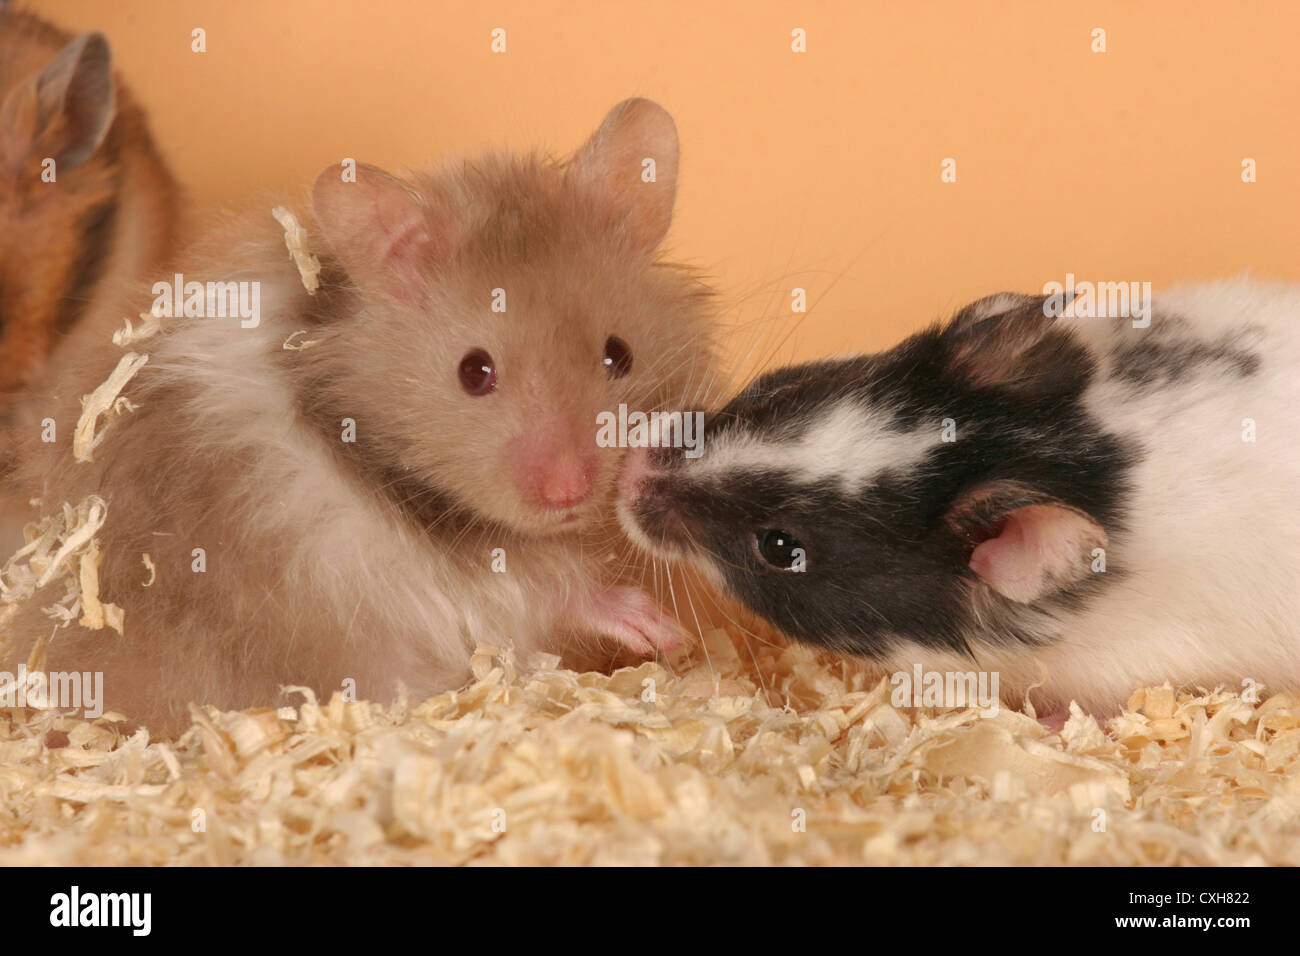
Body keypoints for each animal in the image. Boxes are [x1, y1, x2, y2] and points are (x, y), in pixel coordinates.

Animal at [2, 97, 716, 734]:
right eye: (474, 371)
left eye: (618, 355)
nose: (568, 492)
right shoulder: (470, 579)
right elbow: (558, 589)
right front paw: (663, 632)